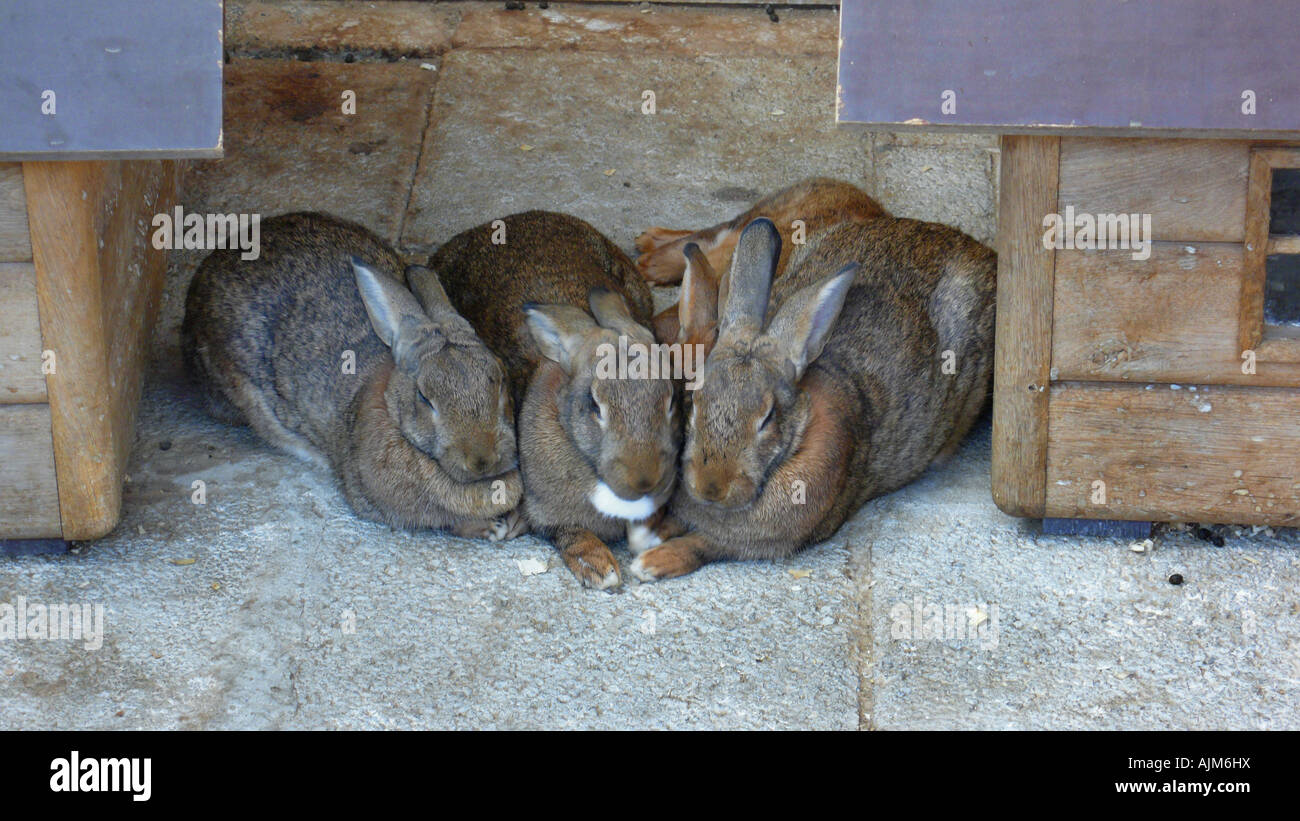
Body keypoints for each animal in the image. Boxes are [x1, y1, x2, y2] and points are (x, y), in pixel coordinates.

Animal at [426, 210, 679, 589]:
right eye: (594, 405)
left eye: (670, 401)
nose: (644, 479)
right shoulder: (550, 512)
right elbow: (568, 532)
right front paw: (599, 568)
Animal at [629, 208, 996, 582]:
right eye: (694, 404)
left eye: (767, 419)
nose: (710, 487)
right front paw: (646, 534)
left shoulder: (766, 542)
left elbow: (703, 545)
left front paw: (651, 561)